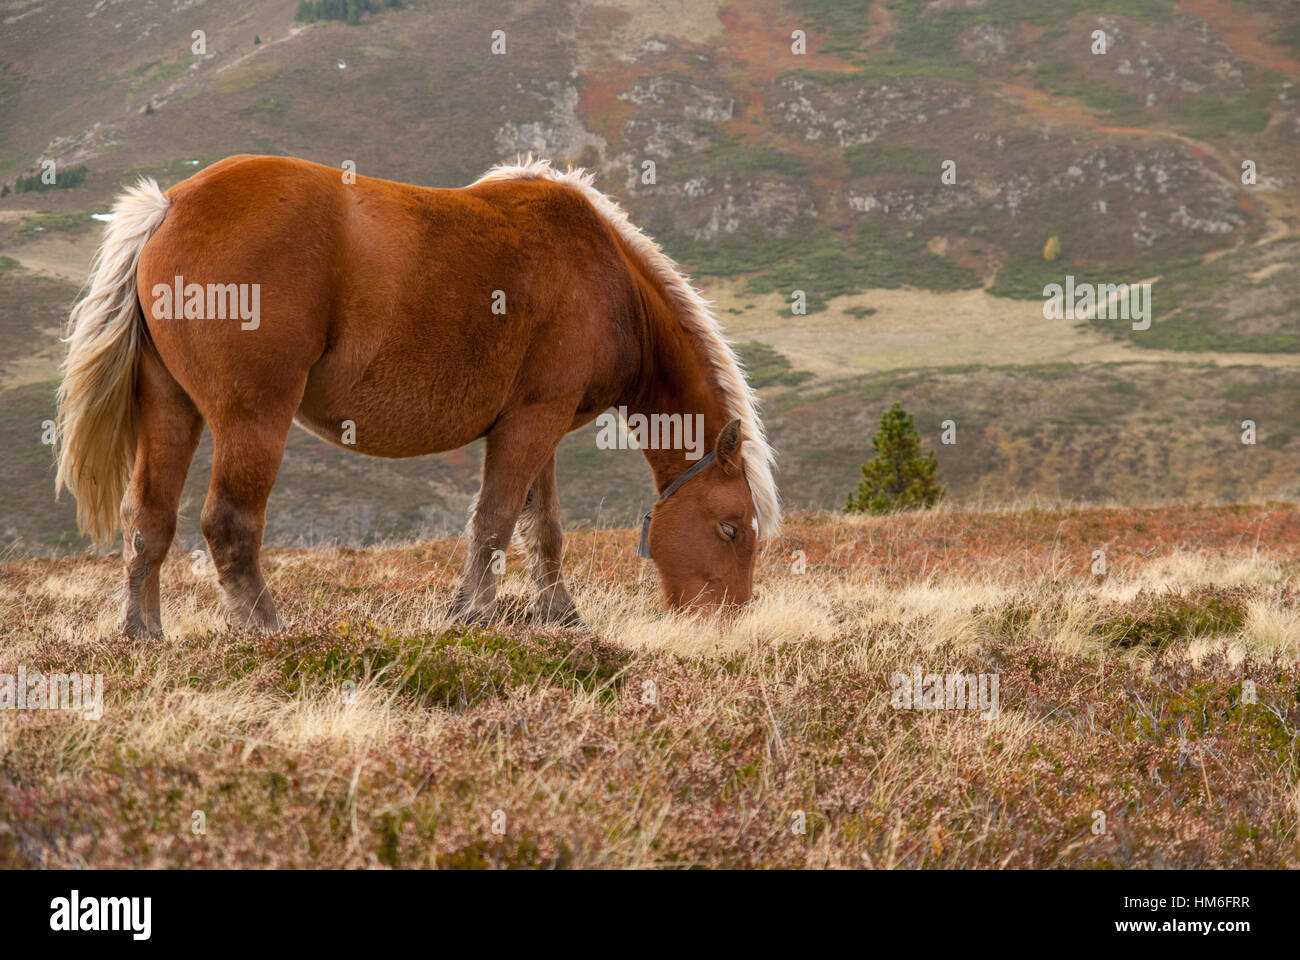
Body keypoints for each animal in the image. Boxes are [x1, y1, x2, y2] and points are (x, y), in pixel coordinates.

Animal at [55, 154, 780, 637]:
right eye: (731, 527)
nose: (731, 621)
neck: (607, 277)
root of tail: (169, 207)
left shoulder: (537, 427)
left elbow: (541, 528)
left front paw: (561, 616)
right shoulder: (532, 423)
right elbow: (494, 521)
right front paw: (471, 616)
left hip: (169, 410)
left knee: (149, 520)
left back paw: (143, 634)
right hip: (252, 419)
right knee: (228, 524)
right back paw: (269, 631)